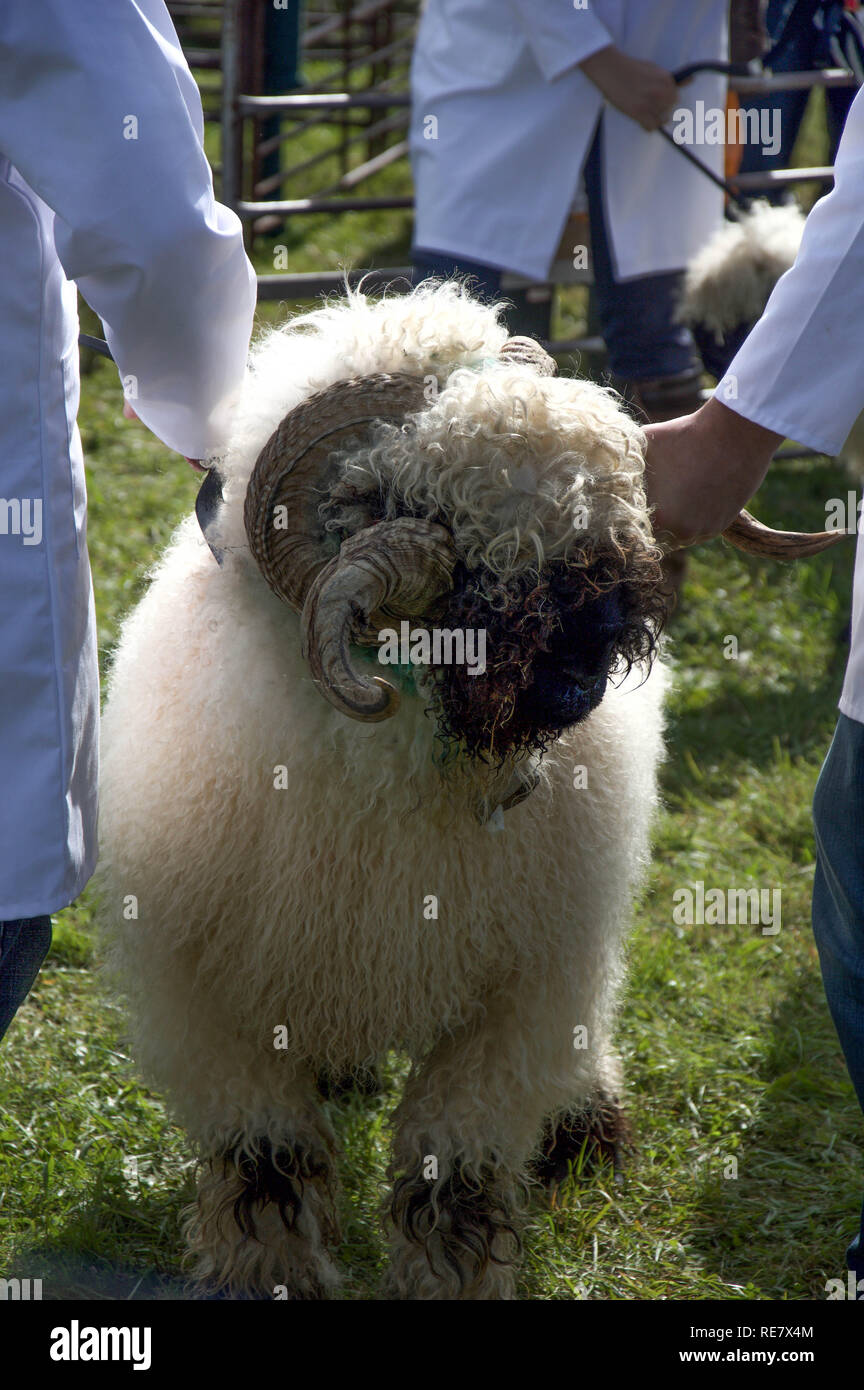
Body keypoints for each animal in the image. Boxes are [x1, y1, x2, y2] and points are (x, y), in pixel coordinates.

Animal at [96, 282, 832, 1300]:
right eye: (400, 500)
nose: (585, 667)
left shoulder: (518, 993)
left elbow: (459, 1161)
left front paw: (455, 1273)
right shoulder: (206, 996)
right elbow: (264, 1155)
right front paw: (265, 1271)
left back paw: (584, 1122)